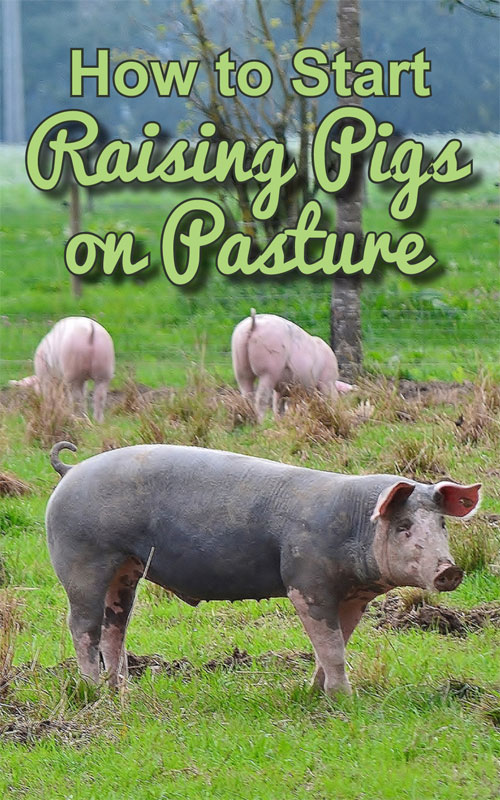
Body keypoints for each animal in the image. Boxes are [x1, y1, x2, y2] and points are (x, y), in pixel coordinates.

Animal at [46, 441, 480, 696]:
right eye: (404, 527)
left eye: (441, 524)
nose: (448, 571)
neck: (356, 523)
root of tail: (71, 470)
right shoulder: (306, 581)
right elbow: (331, 647)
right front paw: (344, 700)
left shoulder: (353, 597)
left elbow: (335, 644)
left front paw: (314, 692)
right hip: (82, 557)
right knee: (82, 625)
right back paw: (92, 691)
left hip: (126, 568)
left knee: (114, 626)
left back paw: (122, 691)